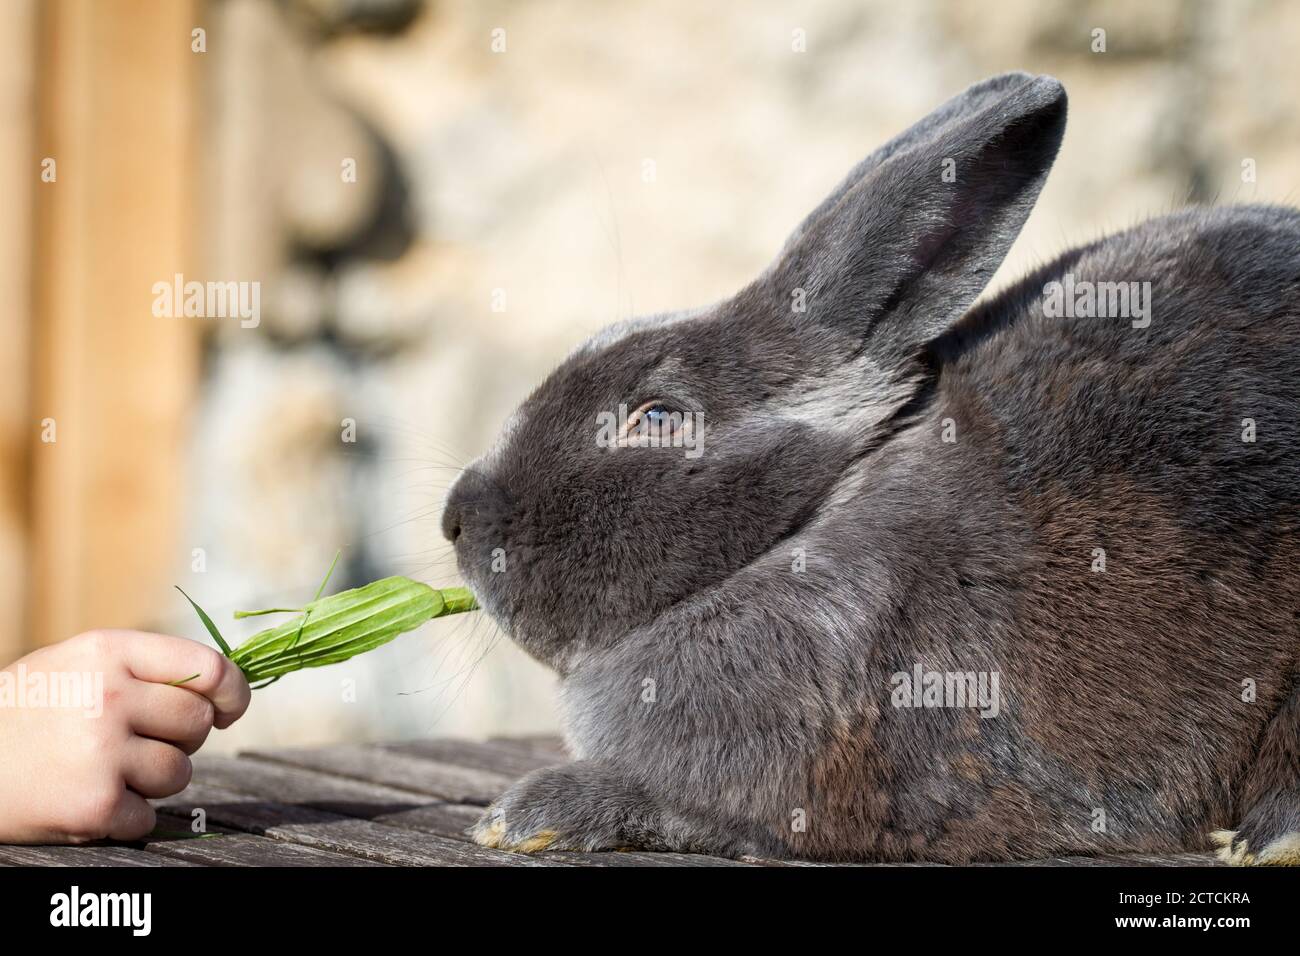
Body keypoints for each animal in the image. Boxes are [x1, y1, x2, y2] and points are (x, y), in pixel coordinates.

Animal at [441, 72, 1294, 868]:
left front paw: (527, 814)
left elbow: (675, 805)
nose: (458, 518)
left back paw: (1266, 838)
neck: (810, 521)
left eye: (656, 417)